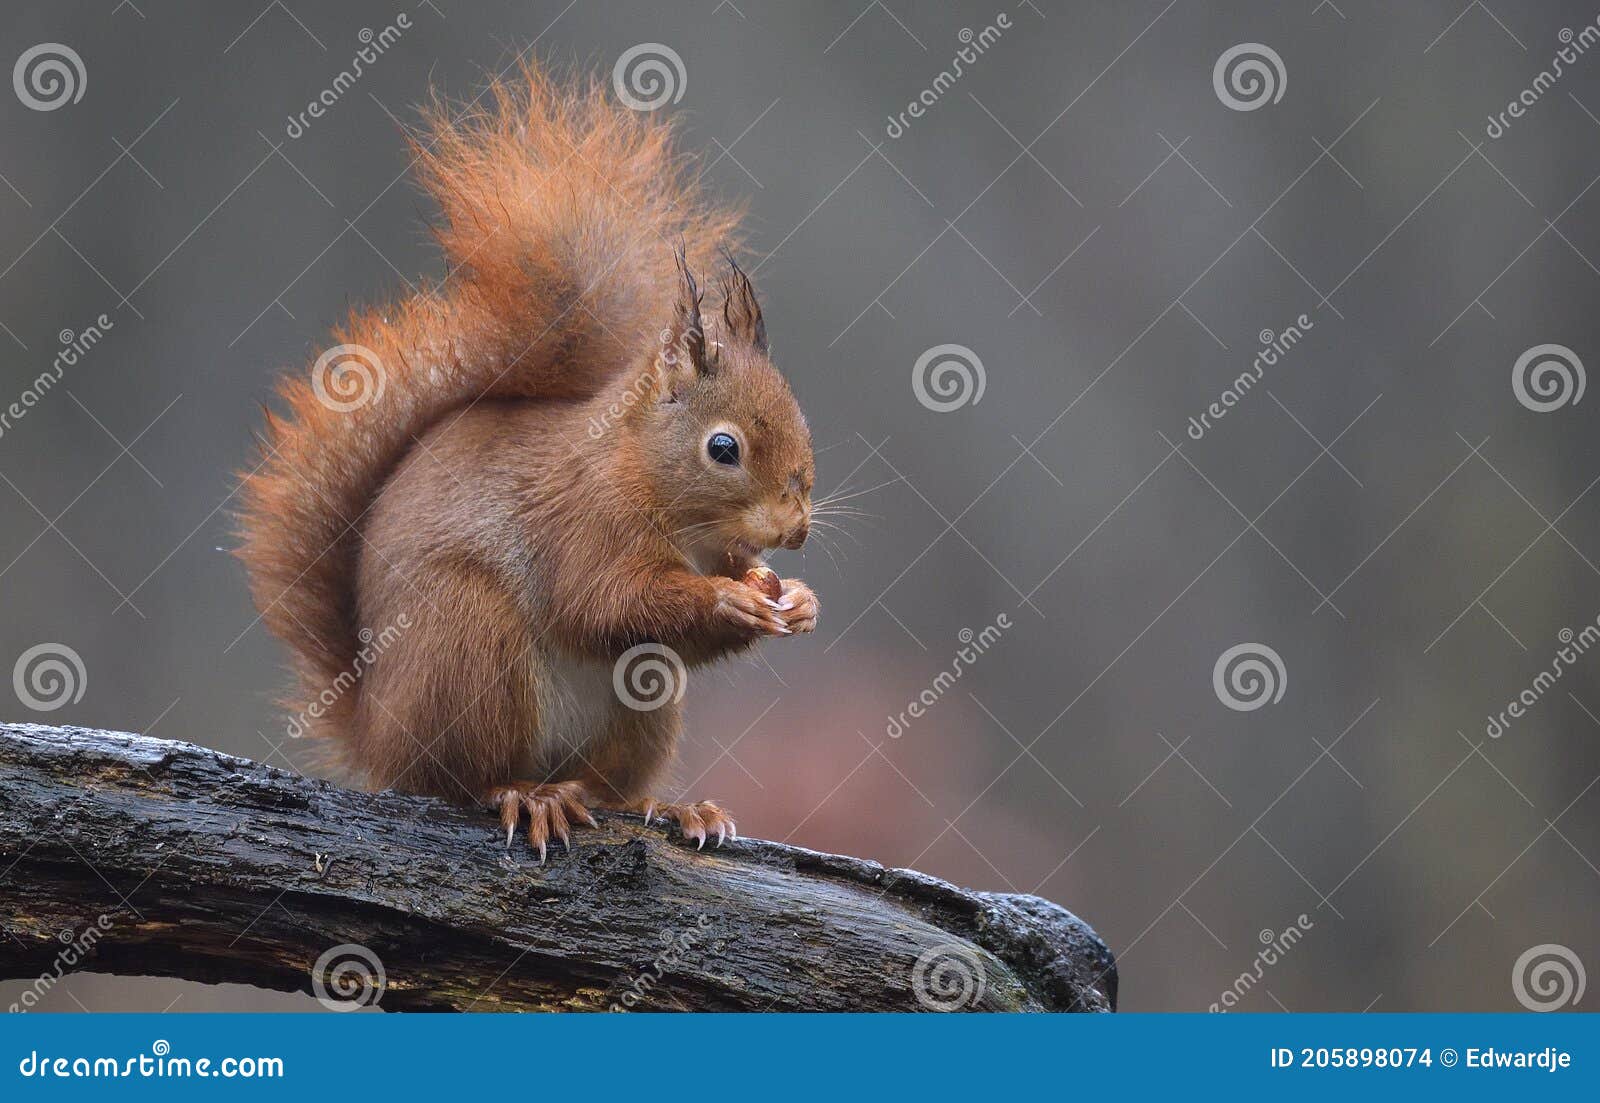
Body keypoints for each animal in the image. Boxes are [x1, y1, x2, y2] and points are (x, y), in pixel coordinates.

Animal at [236, 64, 817, 858]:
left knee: (607, 786)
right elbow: (601, 602)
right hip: (468, 641)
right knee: (457, 779)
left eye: (804, 424)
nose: (796, 529)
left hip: (643, 707)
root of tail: (376, 734)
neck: (645, 475)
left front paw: (795, 598)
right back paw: (524, 794)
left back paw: (667, 807)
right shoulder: (584, 522)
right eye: (722, 448)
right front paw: (727, 599)